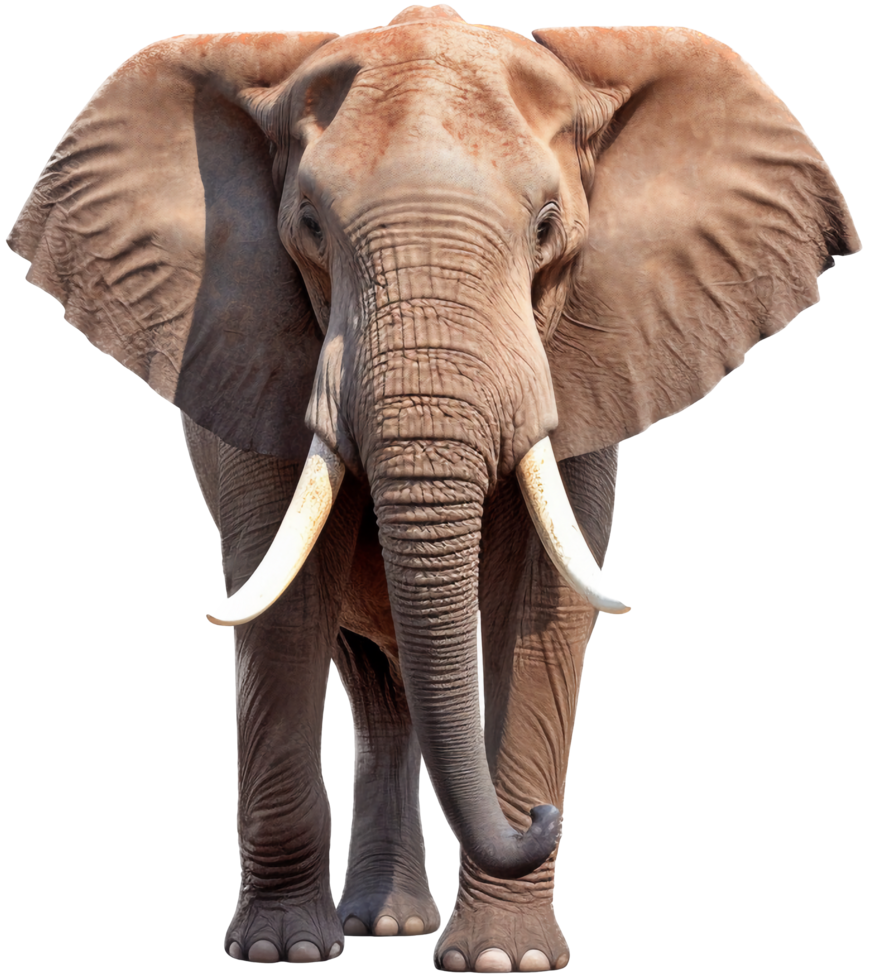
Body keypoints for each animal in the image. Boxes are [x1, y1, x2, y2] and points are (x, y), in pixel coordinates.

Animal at [7, 7, 861, 972]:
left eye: (546, 226)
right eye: (309, 226)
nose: (539, 816)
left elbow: (541, 598)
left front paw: (501, 961)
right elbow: (284, 606)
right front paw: (280, 953)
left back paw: (394, 925)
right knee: (370, 675)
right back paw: (378, 926)